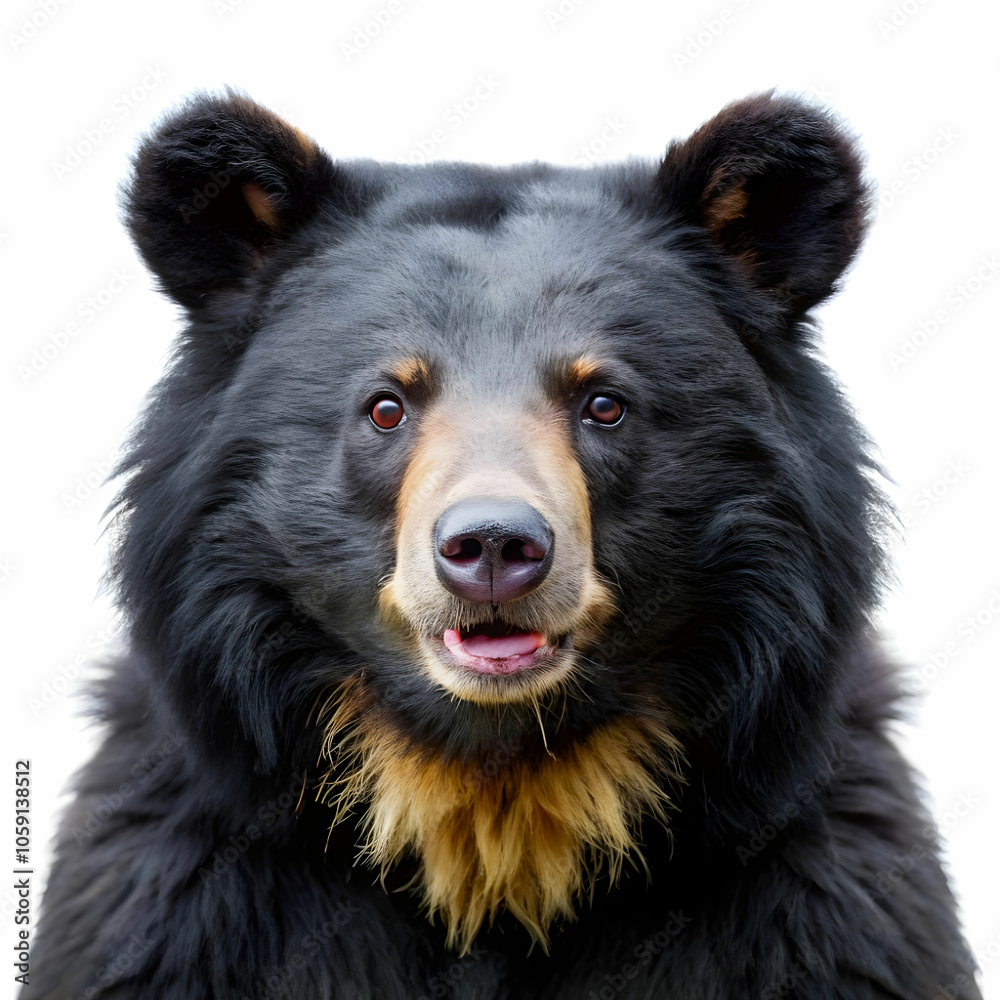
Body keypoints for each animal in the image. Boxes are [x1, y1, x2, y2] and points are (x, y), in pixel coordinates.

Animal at [23, 91, 981, 1000]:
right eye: (386, 406)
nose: (493, 546)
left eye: (604, 404)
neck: (492, 800)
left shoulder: (812, 900)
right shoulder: (192, 902)